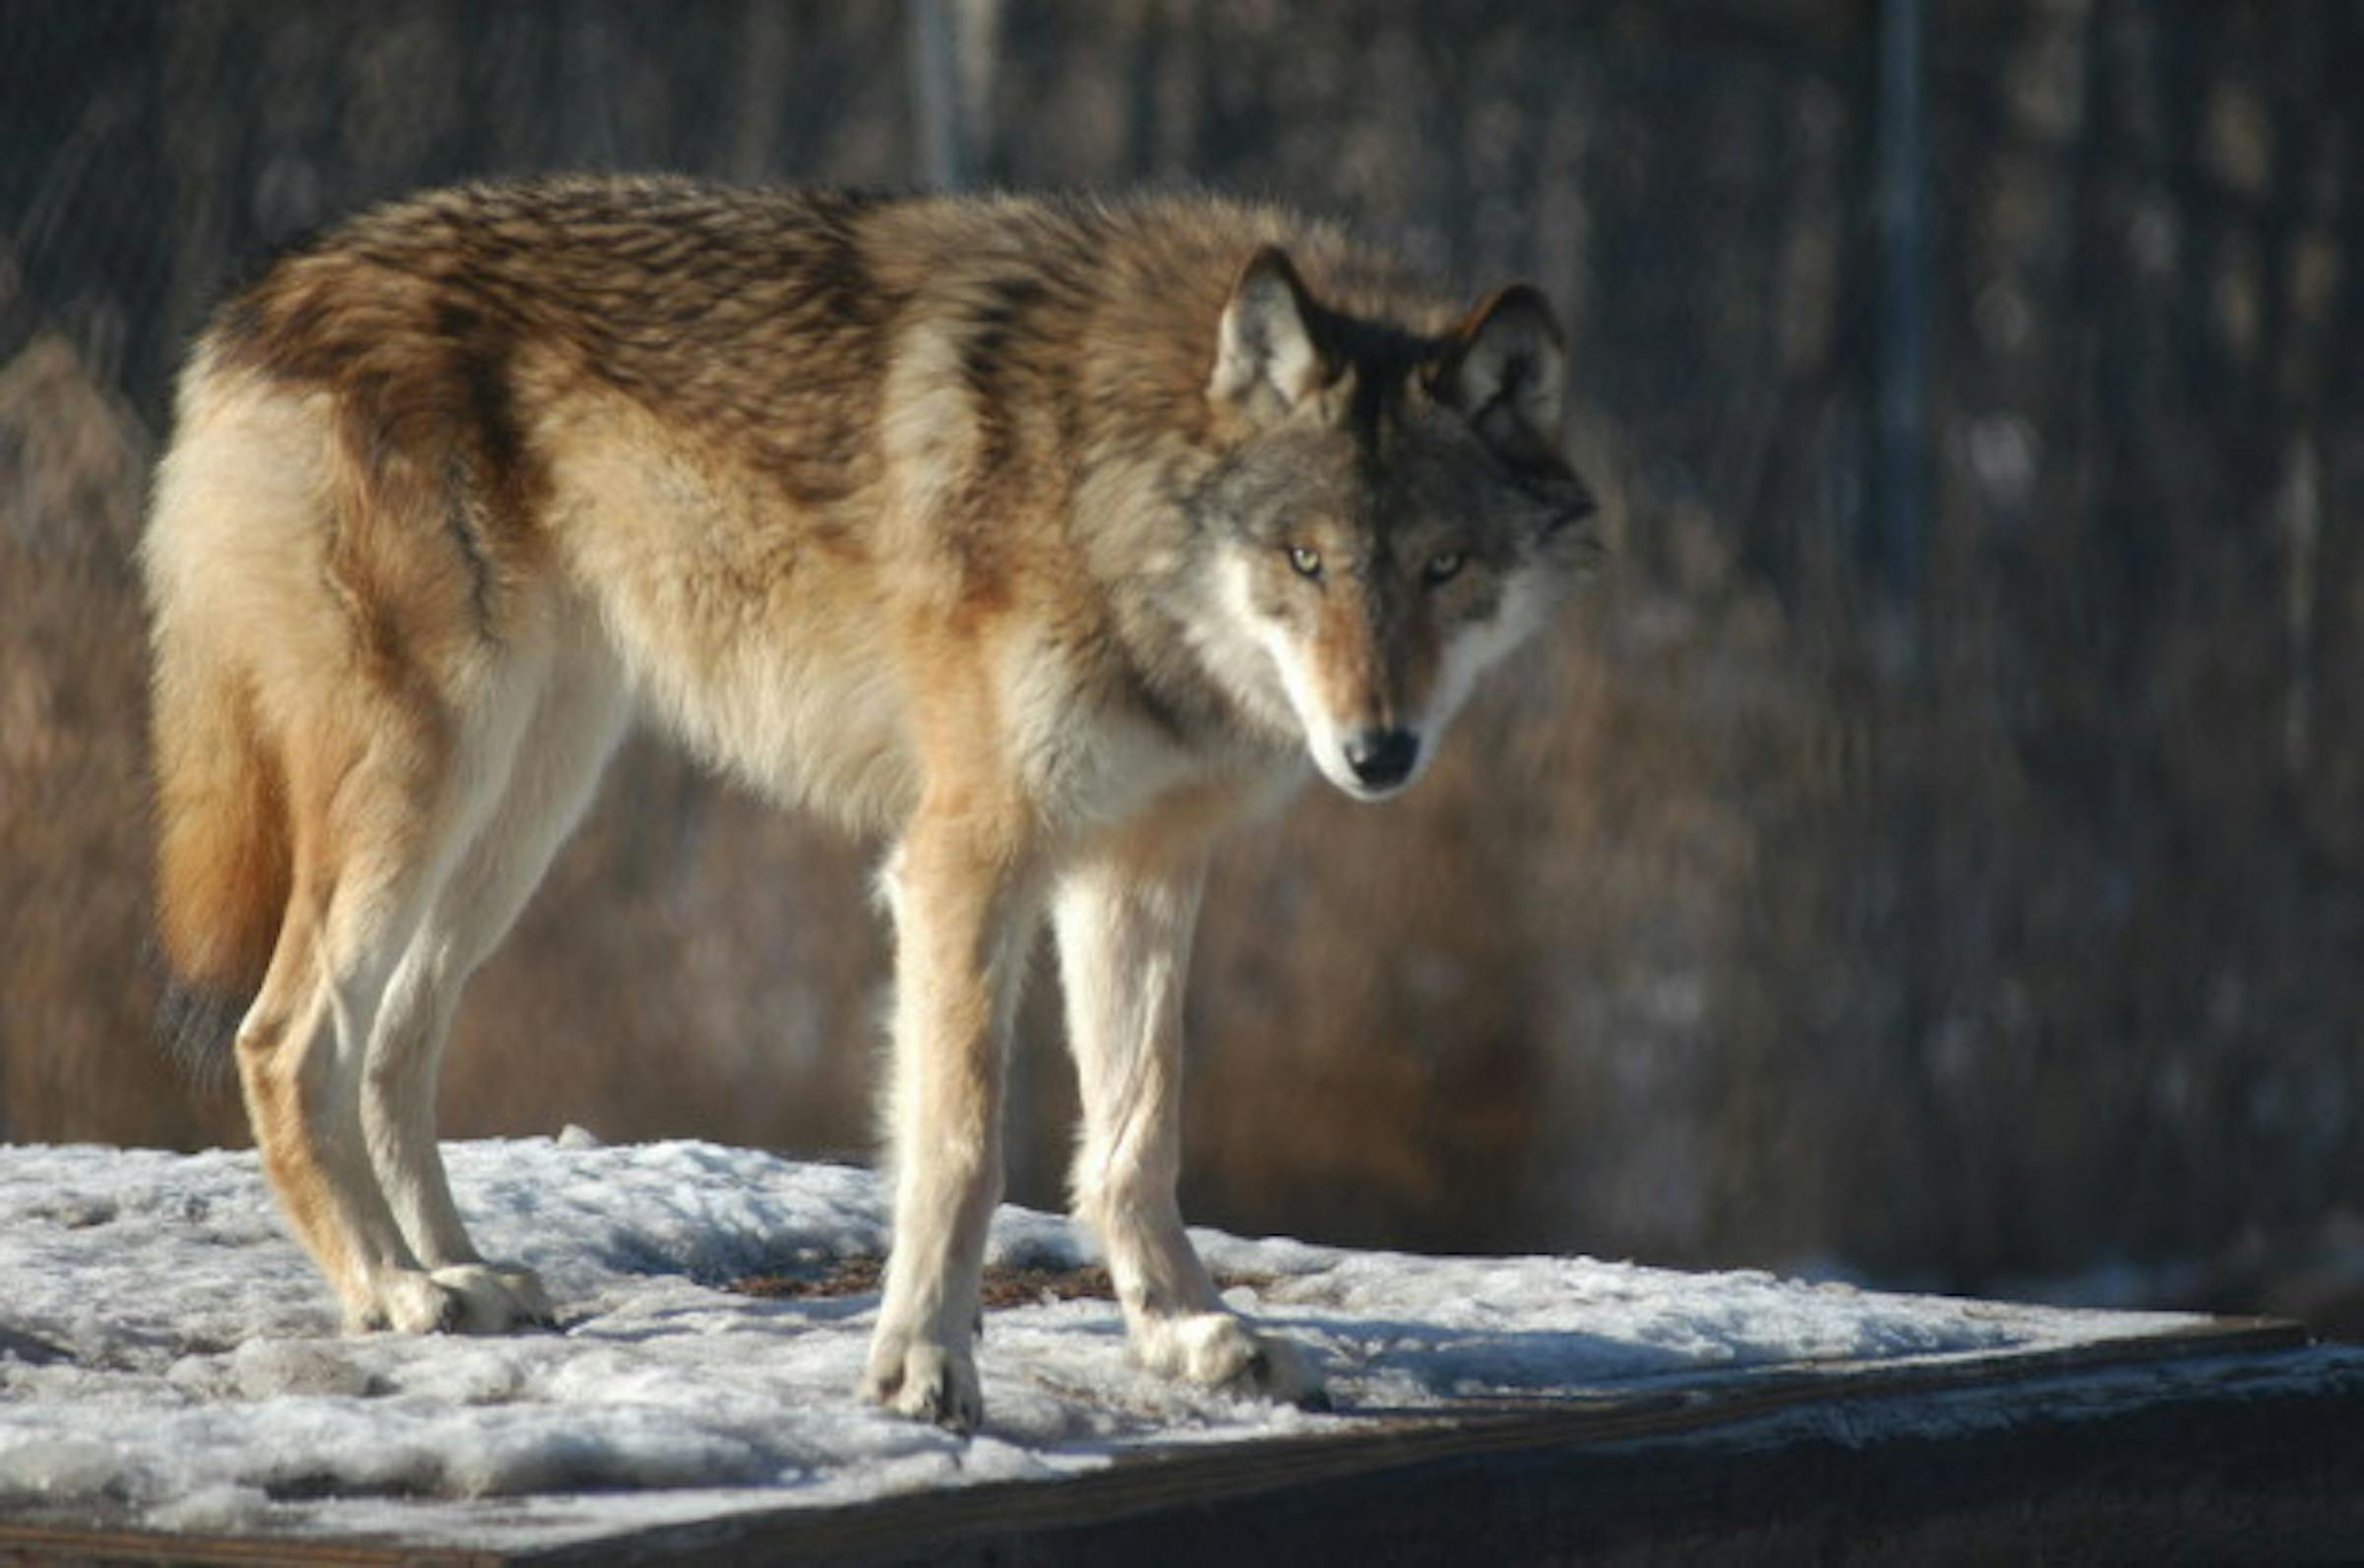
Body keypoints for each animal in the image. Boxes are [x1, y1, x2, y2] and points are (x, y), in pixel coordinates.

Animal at [143, 175, 1597, 1431]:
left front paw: (1188, 1335)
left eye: (1443, 566)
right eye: (1306, 560)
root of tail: (259, 294)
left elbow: (1138, 1134)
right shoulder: (963, 857)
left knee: (395, 1040)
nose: (1380, 750)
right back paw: (389, 1287)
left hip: (523, 808)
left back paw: (465, 1271)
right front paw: (923, 1364)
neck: (1115, 483)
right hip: (425, 780)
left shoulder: (1137, 868)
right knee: (285, 1038)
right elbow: (959, 1142)